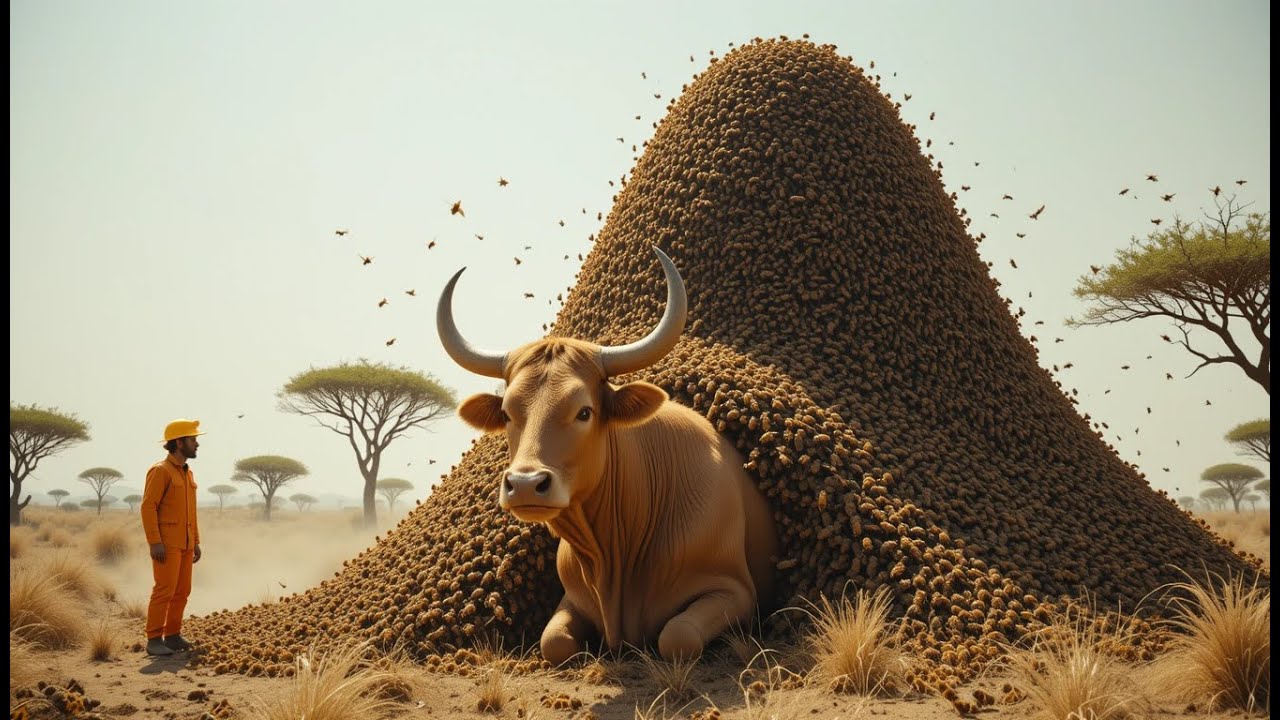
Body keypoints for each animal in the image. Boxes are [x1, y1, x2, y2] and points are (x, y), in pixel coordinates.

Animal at [437, 247, 777, 664]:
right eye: (506, 413)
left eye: (584, 411)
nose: (526, 484)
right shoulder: (570, 600)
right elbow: (554, 642)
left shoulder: (735, 591)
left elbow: (677, 636)